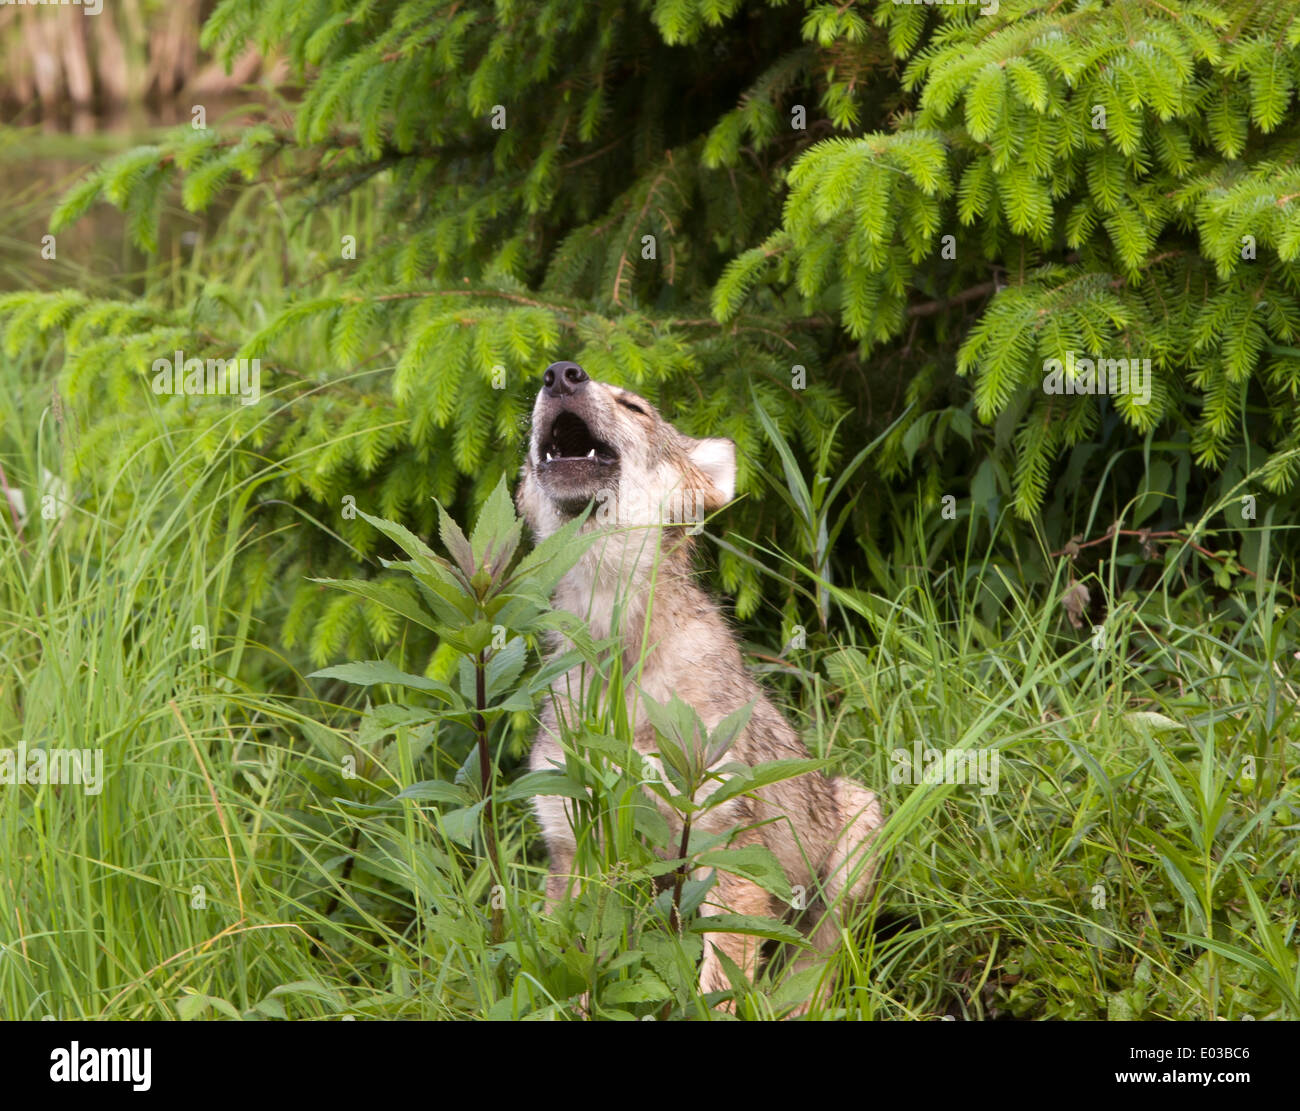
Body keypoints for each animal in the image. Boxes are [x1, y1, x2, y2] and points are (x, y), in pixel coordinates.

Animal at [515, 361, 884, 1007]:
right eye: (547, 383)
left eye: (634, 407)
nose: (560, 373)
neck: (618, 661)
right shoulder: (573, 855)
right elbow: (575, 980)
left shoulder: (731, 863)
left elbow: (717, 989)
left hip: (859, 826)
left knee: (813, 969)